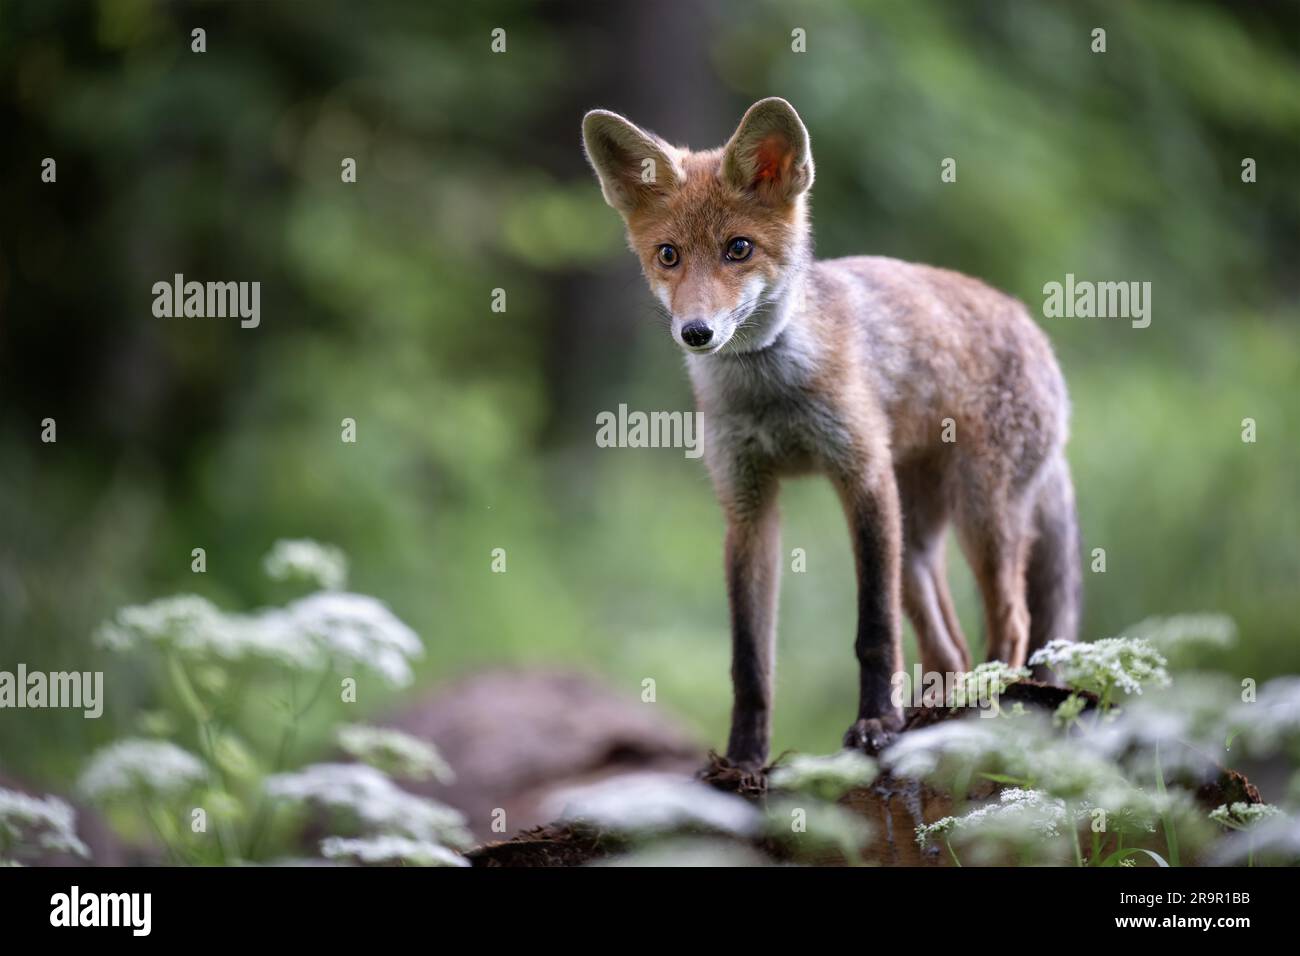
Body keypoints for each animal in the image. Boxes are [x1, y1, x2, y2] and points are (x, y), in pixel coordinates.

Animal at [581, 97, 1081, 769]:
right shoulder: (748, 509)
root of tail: (1030, 323)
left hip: (981, 515)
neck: (771, 393)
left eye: (738, 248)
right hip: (915, 536)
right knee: (948, 646)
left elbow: (874, 633)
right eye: (668, 255)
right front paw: (743, 760)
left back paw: (984, 700)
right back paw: (938, 709)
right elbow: (750, 661)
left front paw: (874, 724)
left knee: (1013, 621)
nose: (696, 332)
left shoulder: (861, 477)